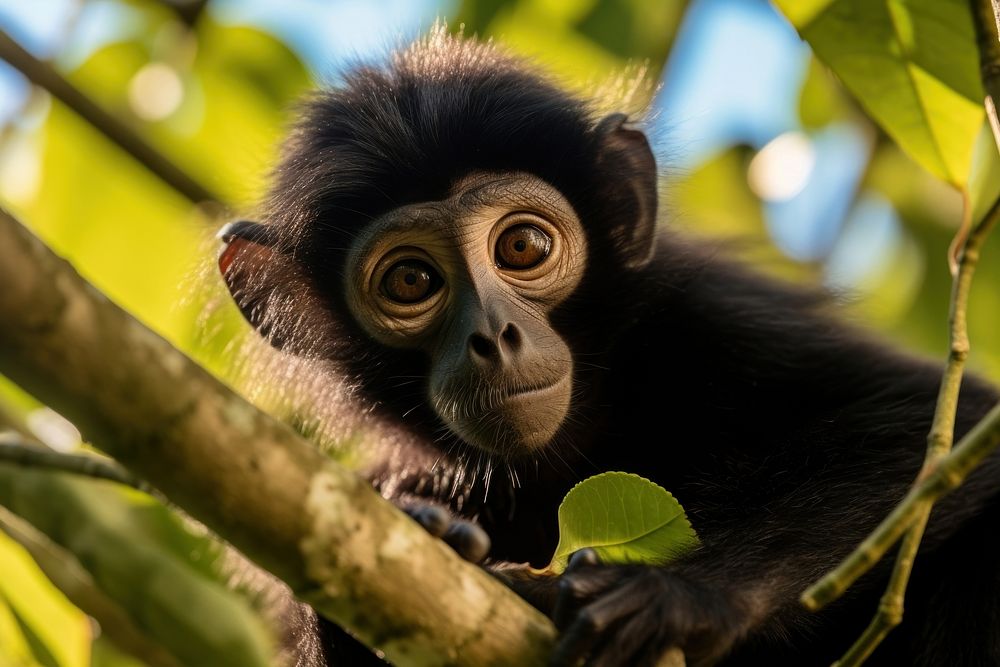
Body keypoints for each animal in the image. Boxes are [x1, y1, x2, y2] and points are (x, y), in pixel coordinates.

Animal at [217, 28, 1000, 667]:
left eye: (523, 247)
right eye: (411, 279)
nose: (492, 335)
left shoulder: (713, 312)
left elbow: (943, 421)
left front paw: (683, 596)